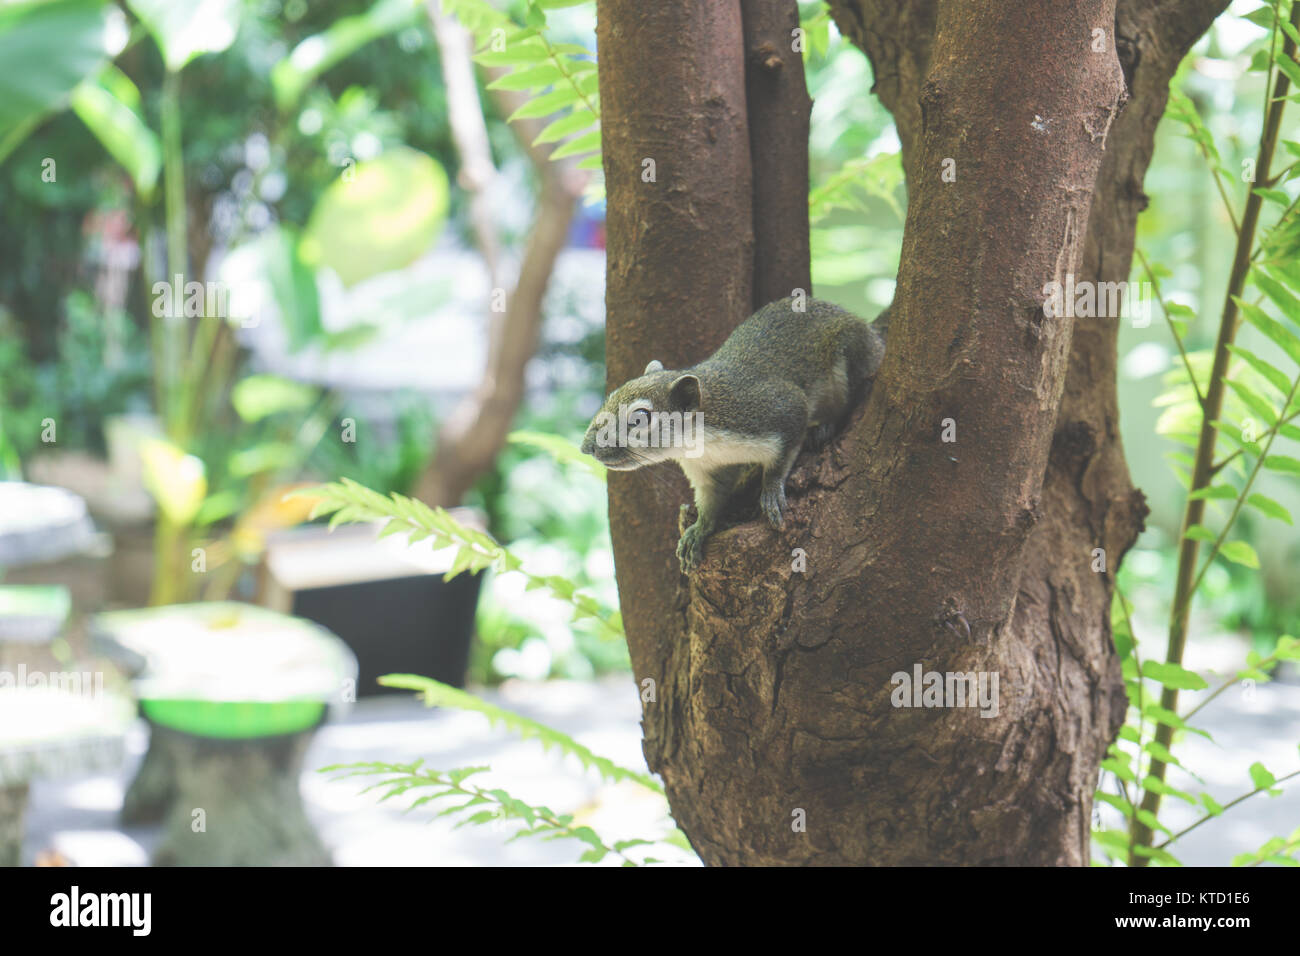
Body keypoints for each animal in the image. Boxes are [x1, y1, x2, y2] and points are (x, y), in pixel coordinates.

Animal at [581, 296, 888, 572]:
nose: (587, 448)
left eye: (640, 418)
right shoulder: (708, 471)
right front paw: (698, 530)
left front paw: (771, 489)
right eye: (612, 395)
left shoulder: (779, 409)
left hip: (848, 353)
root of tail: (871, 336)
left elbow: (783, 454)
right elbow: (711, 501)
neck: (699, 441)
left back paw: (825, 425)